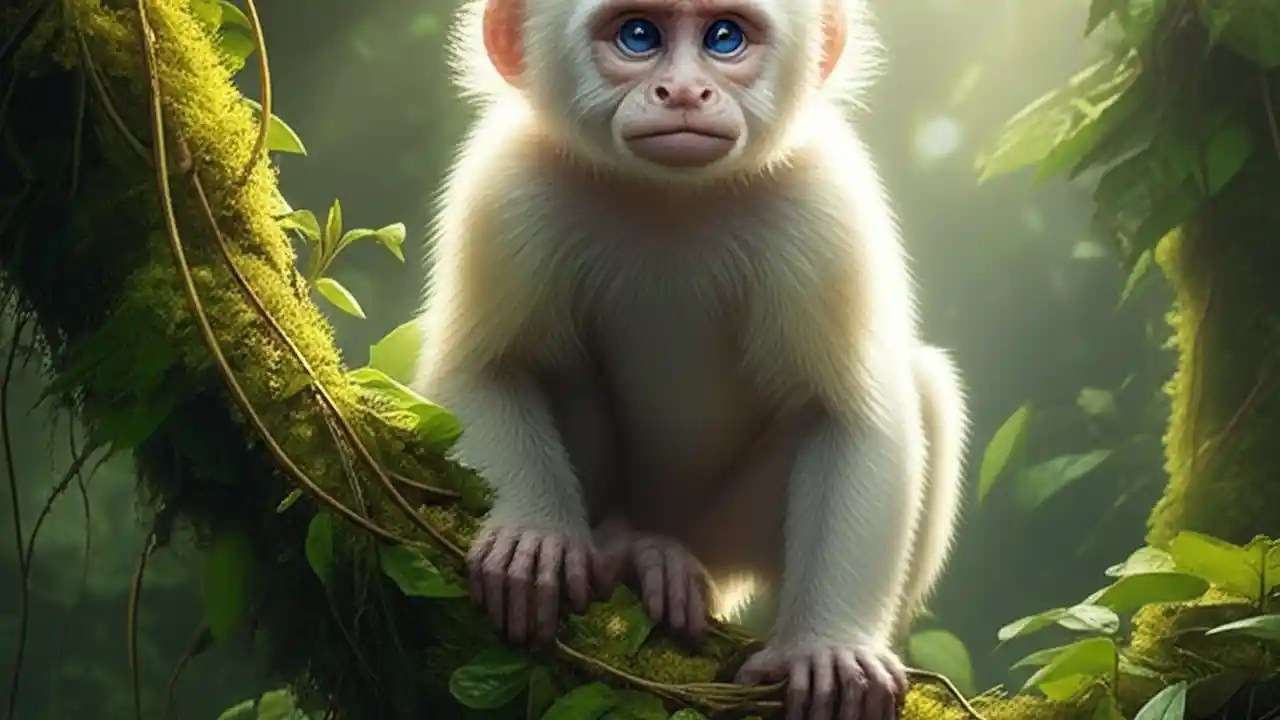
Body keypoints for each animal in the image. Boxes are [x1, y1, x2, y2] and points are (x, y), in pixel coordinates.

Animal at [410, 0, 971, 716]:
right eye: (638, 36)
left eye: (724, 38)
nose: (681, 92)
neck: (670, 197)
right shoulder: (505, 180)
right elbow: (480, 370)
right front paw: (532, 534)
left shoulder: (829, 198)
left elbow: (851, 419)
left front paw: (829, 648)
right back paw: (629, 549)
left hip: (728, 531)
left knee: (925, 386)